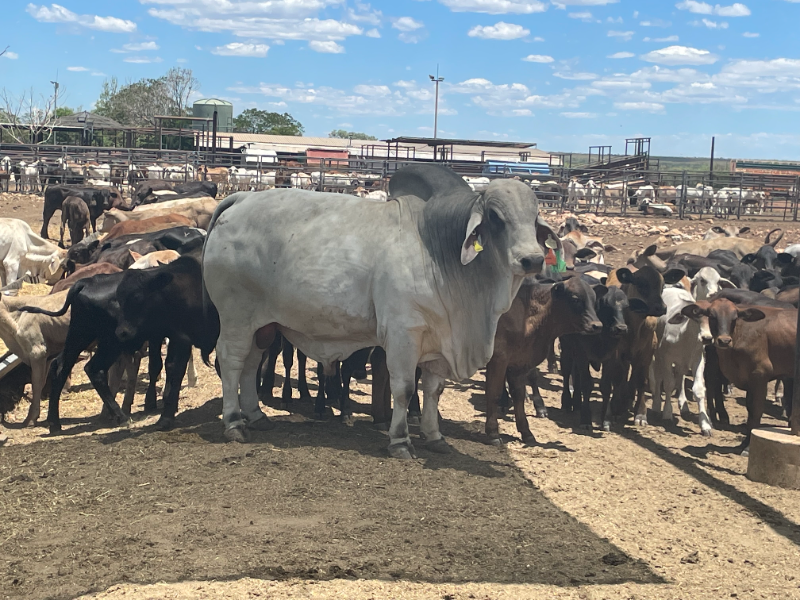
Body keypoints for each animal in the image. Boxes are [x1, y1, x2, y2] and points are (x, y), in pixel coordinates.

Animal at [203, 164, 556, 457]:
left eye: (535, 217)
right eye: (496, 217)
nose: (532, 259)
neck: (439, 249)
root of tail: (240, 198)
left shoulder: (441, 339)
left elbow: (434, 390)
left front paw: (435, 437)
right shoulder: (404, 333)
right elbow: (404, 389)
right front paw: (400, 441)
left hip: (262, 325)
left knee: (250, 363)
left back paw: (256, 415)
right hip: (235, 316)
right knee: (232, 360)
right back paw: (234, 422)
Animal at [484, 277, 602, 445]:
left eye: (594, 300)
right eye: (575, 299)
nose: (597, 325)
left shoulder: (518, 362)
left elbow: (519, 395)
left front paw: (526, 432)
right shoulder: (498, 358)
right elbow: (494, 393)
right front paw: (493, 433)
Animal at [681, 298, 797, 454]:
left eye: (735, 318)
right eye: (712, 316)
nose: (724, 341)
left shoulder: (759, 376)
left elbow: (756, 411)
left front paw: (747, 447)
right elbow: (750, 410)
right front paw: (744, 444)